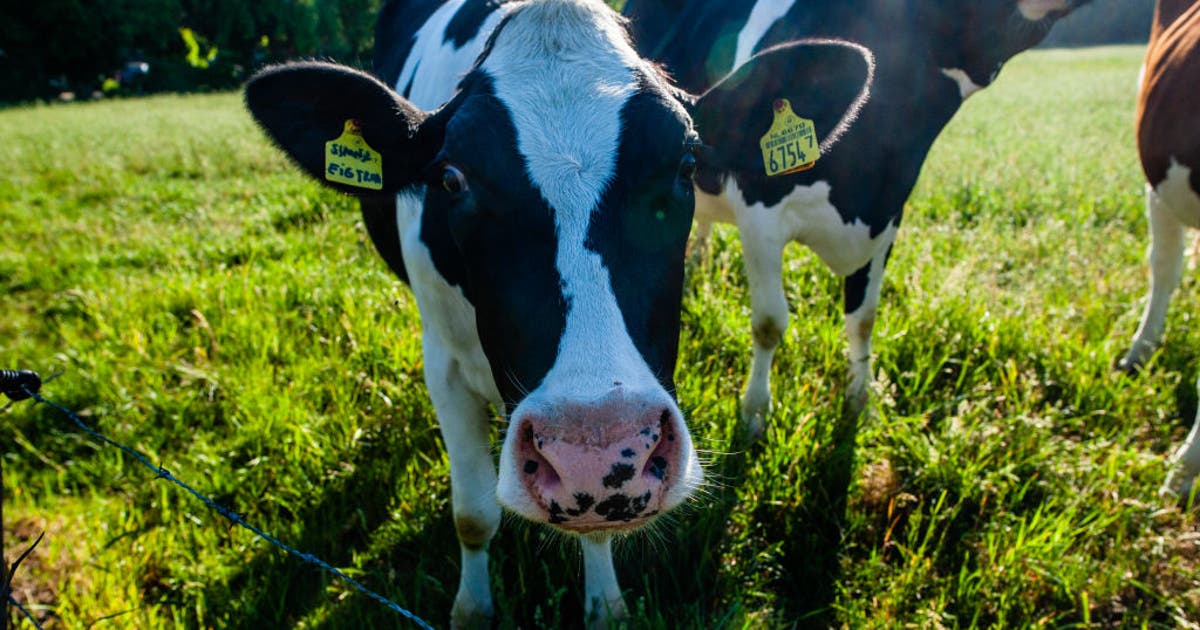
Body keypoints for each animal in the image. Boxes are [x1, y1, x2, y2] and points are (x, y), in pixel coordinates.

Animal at [243, 0, 875, 625]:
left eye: (687, 163)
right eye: (450, 178)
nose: (593, 455)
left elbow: (593, 531)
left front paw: (605, 604)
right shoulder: (442, 363)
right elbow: (473, 513)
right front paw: (473, 609)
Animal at [622, 0, 1092, 438]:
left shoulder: (889, 218)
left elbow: (864, 318)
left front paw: (860, 399)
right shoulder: (761, 215)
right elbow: (769, 323)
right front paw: (755, 412)